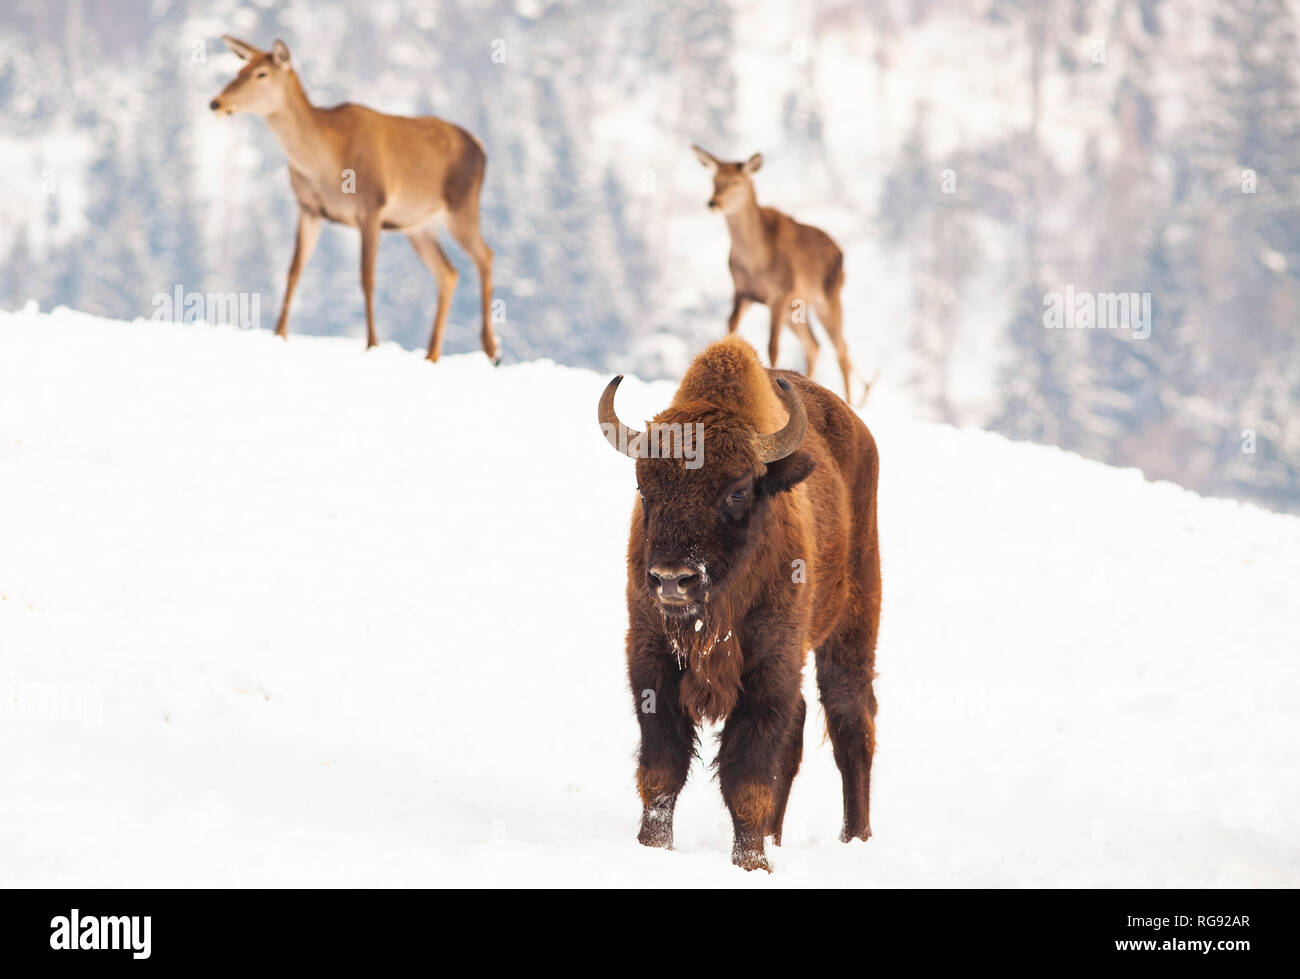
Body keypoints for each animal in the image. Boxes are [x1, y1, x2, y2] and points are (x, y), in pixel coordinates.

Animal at [210, 36, 500, 364]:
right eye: (240, 70)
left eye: (261, 73)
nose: (216, 102)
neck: (324, 164)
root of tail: (481, 148)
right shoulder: (309, 208)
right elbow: (294, 269)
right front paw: (279, 334)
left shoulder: (372, 205)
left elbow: (367, 276)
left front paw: (372, 343)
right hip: (418, 225)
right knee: (448, 272)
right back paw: (432, 354)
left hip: (462, 205)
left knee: (485, 256)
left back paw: (491, 349)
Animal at [598, 336, 881, 871]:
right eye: (645, 489)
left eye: (737, 491)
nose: (672, 579)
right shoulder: (651, 657)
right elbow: (662, 768)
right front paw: (653, 848)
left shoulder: (769, 665)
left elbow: (747, 777)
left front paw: (751, 864)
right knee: (798, 732)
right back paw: (777, 838)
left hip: (852, 623)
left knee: (851, 724)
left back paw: (856, 839)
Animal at [692, 145, 867, 405]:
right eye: (714, 180)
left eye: (736, 181)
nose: (713, 203)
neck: (756, 262)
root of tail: (840, 251)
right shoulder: (742, 292)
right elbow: (731, 328)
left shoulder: (781, 293)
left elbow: (772, 346)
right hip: (797, 308)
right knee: (814, 345)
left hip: (828, 297)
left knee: (842, 350)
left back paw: (849, 401)